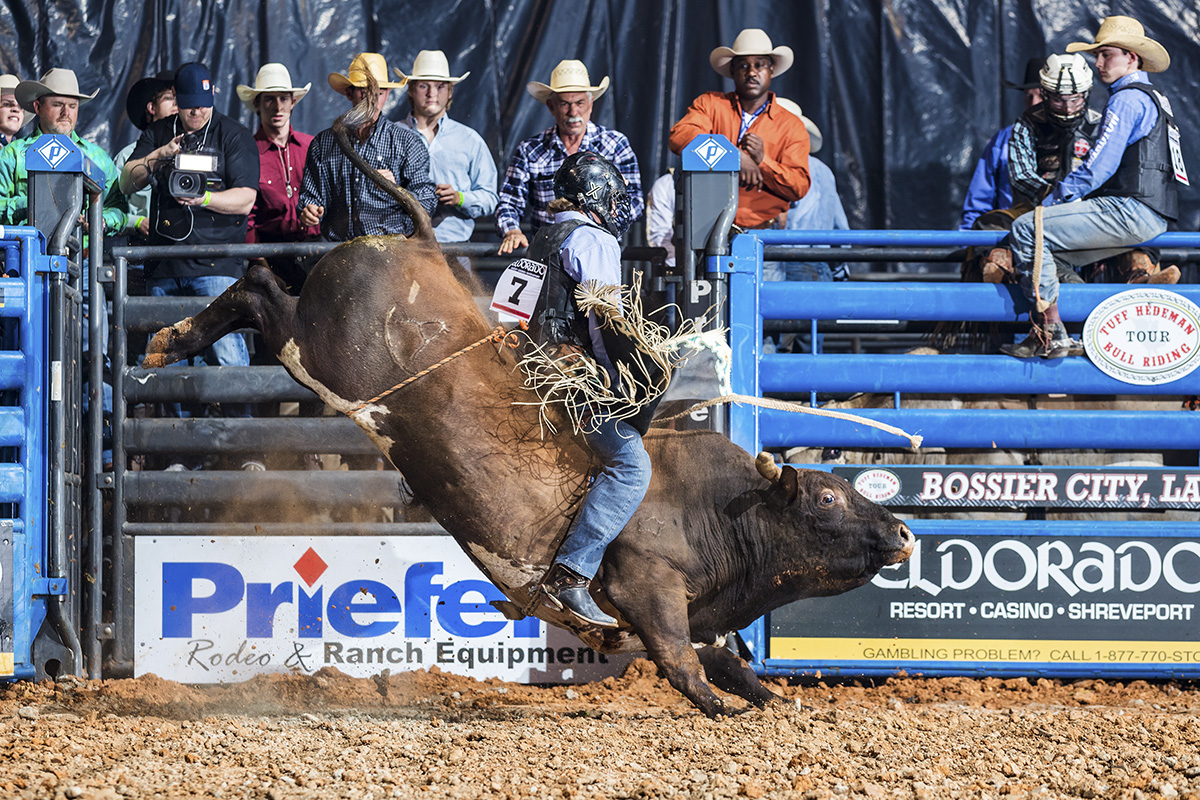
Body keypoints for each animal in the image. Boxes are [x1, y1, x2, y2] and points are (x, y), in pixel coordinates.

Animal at [144, 113, 914, 717]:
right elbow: (678, 659)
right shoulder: (649, 586)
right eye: (826, 497)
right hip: (310, 347)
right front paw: (720, 705)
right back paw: (170, 338)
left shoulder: (705, 617)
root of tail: (417, 241)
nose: (905, 532)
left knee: (257, 283)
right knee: (256, 288)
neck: (722, 509)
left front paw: (770, 695)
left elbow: (725, 658)